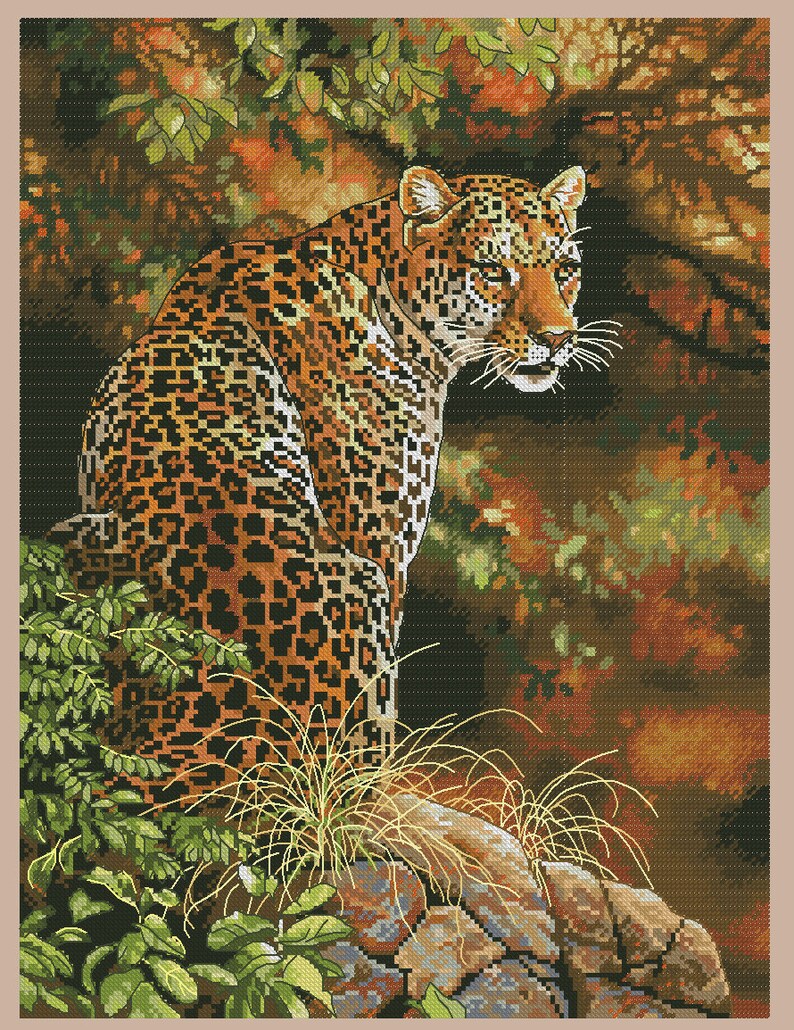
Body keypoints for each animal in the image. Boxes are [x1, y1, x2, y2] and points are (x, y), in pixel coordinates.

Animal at [50, 164, 588, 803]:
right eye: (493, 270)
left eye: (565, 270)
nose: (558, 337)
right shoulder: (381, 546)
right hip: (354, 597)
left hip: (76, 535)